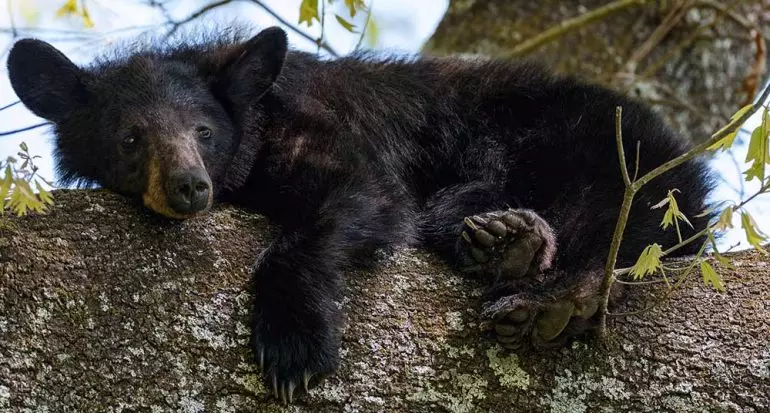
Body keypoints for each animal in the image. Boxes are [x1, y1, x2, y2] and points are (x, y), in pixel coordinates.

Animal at [7, 26, 712, 402]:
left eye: (204, 131)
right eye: (131, 138)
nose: (189, 187)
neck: (256, 122)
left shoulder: (314, 125)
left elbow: (362, 194)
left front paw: (292, 344)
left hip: (600, 149)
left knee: (612, 222)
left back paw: (556, 296)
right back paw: (508, 242)